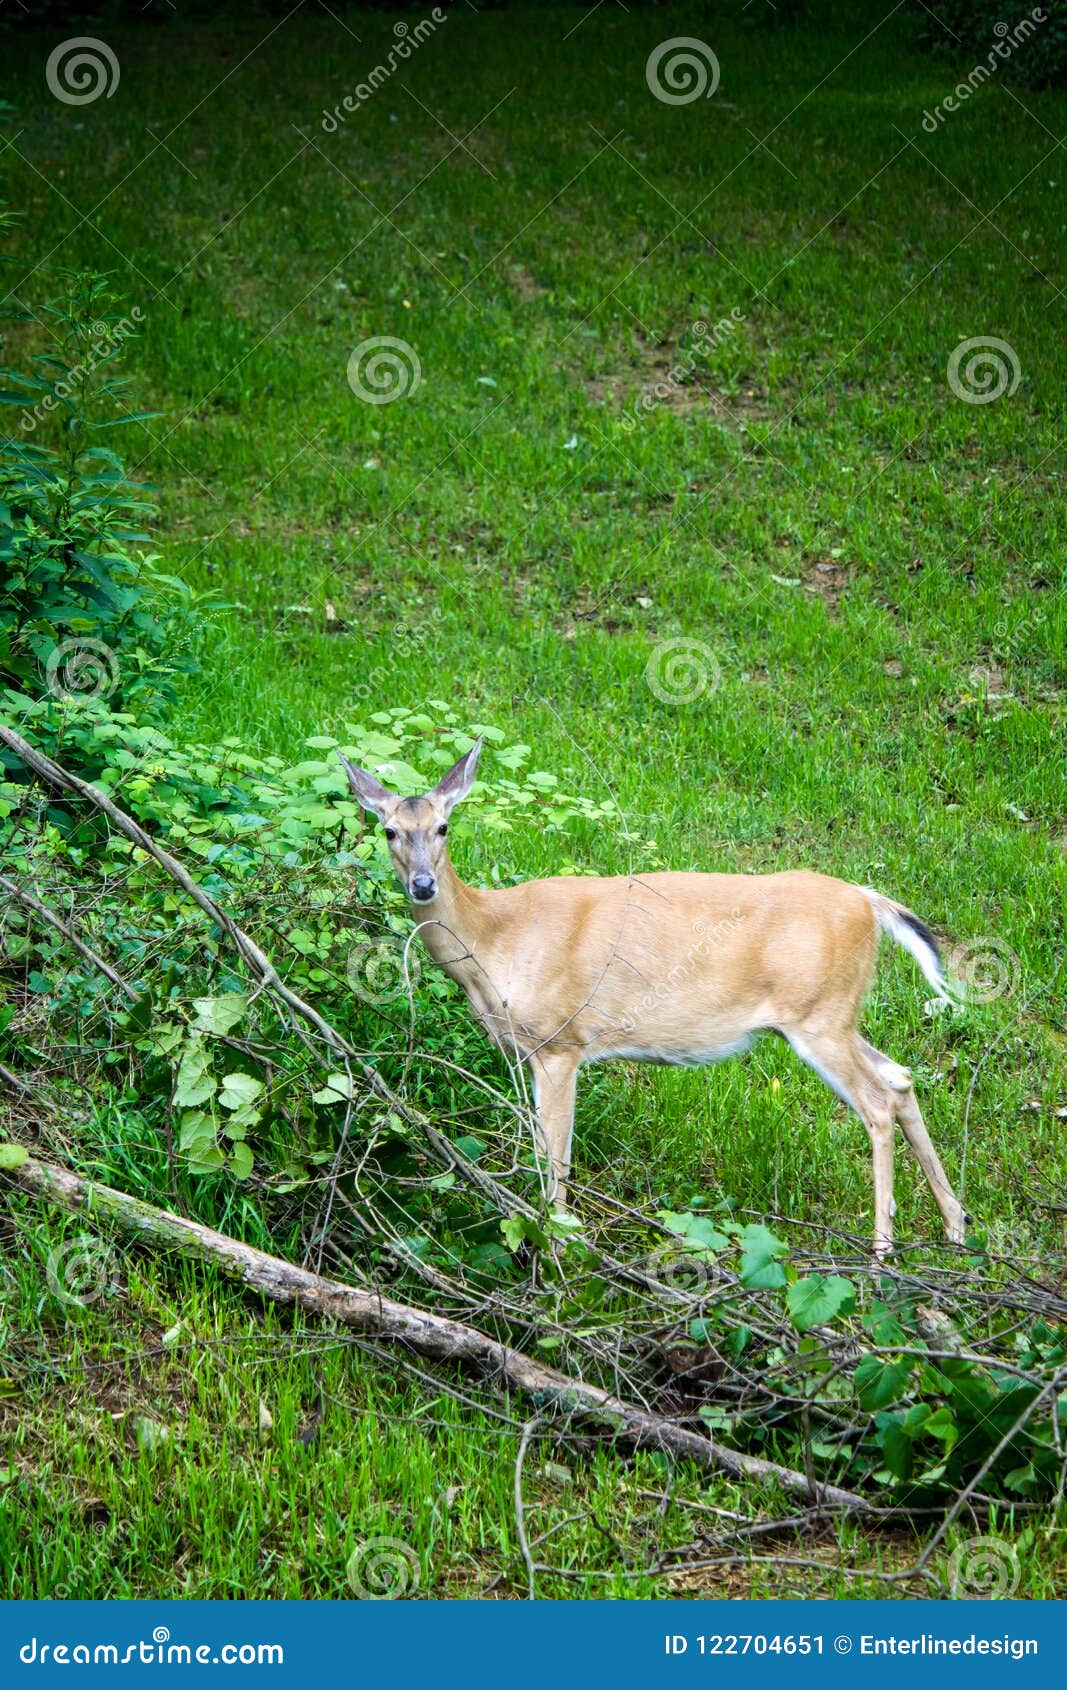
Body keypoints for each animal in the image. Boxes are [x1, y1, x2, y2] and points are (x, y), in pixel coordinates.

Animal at [339, 739, 967, 1257]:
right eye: (390, 831)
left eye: (445, 827)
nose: (423, 885)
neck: (494, 943)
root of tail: (869, 902)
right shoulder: (523, 1052)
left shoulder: (561, 1041)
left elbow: (557, 1159)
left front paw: (556, 1253)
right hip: (837, 1014)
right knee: (901, 1078)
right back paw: (955, 1228)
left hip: (818, 1016)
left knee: (878, 1103)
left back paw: (881, 1255)